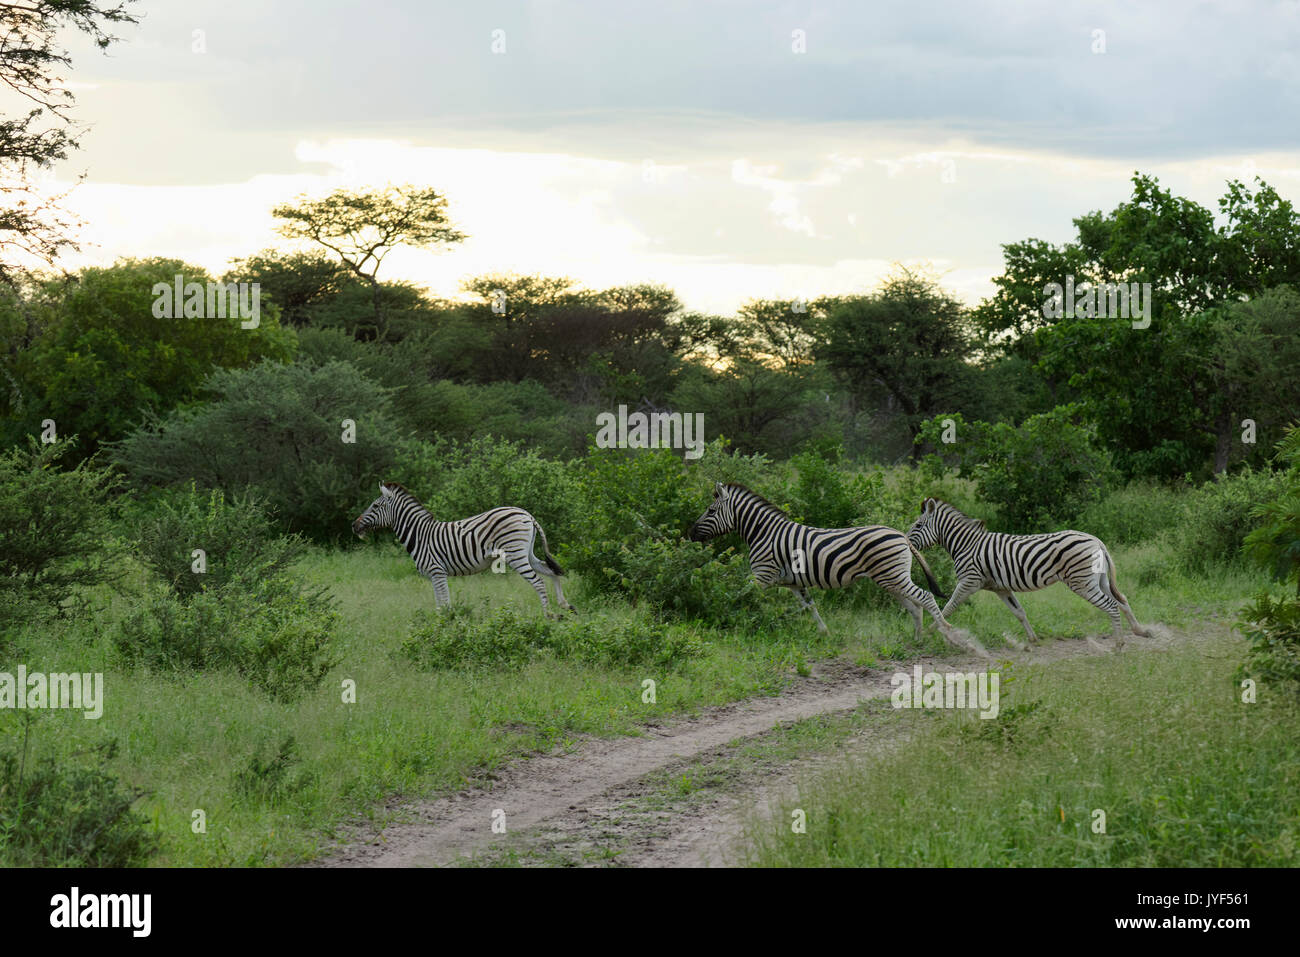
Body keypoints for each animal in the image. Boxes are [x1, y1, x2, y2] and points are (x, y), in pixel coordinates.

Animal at [352, 482, 573, 615]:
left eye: (375, 506)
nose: (354, 525)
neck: (420, 534)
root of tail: (527, 514)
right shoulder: (434, 575)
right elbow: (440, 604)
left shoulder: (437, 572)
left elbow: (444, 604)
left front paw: (444, 628)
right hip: (526, 552)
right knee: (550, 570)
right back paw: (565, 605)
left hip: (515, 554)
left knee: (538, 582)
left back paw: (547, 616)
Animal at [688, 483, 986, 656]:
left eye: (711, 510)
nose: (690, 534)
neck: (763, 533)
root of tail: (902, 536)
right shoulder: (794, 582)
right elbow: (810, 607)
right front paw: (824, 633)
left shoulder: (761, 576)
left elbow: (740, 597)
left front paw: (732, 622)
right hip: (890, 579)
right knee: (915, 606)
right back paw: (918, 639)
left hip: (894, 577)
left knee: (924, 597)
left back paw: (949, 635)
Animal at [906, 497, 1150, 651]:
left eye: (917, 526)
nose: (906, 541)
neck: (966, 544)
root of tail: (1096, 540)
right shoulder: (1000, 587)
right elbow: (1019, 612)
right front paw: (1033, 640)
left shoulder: (969, 581)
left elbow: (948, 607)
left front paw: (932, 631)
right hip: (1099, 580)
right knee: (1122, 600)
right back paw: (1140, 631)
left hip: (1082, 583)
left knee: (1111, 605)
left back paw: (1119, 644)